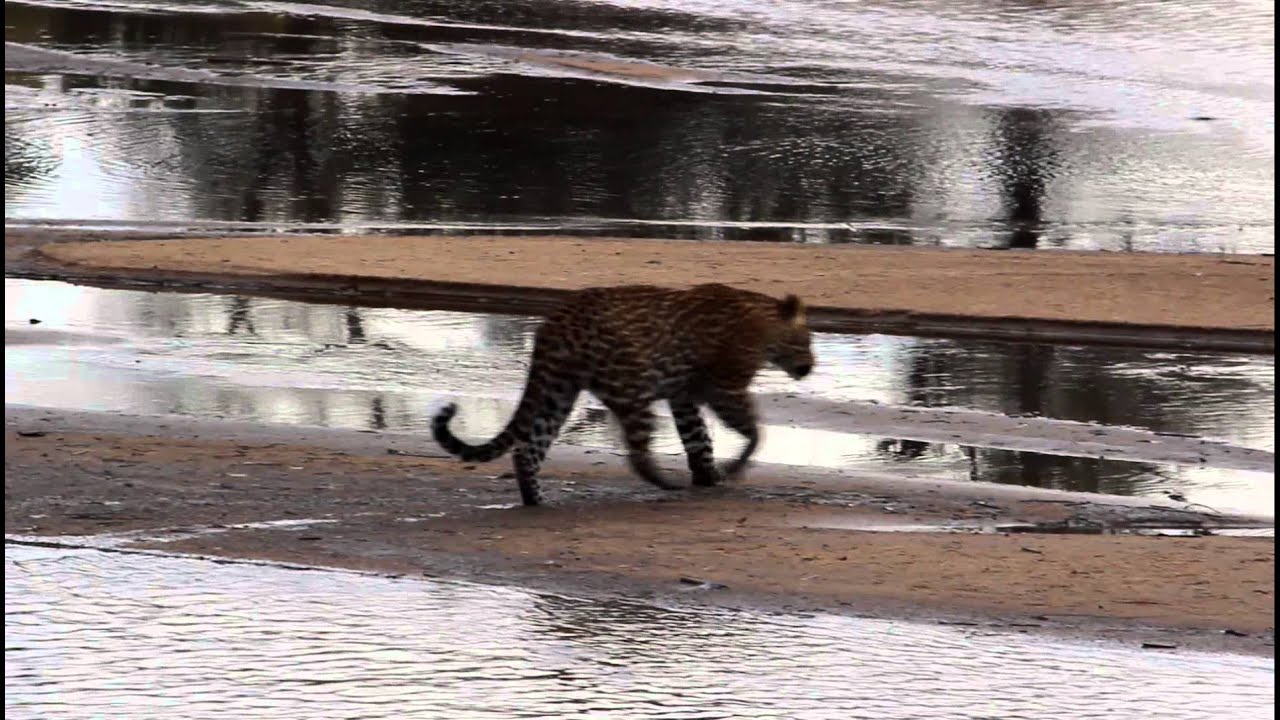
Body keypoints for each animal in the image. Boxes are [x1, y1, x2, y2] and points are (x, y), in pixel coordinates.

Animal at [432, 282, 815, 506]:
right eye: (807, 340)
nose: (811, 366)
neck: (766, 321)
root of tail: (556, 321)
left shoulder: (684, 396)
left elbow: (698, 439)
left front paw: (708, 476)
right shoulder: (725, 387)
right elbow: (754, 432)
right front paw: (730, 469)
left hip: (559, 389)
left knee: (528, 448)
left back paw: (536, 499)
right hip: (632, 386)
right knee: (636, 452)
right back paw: (666, 484)